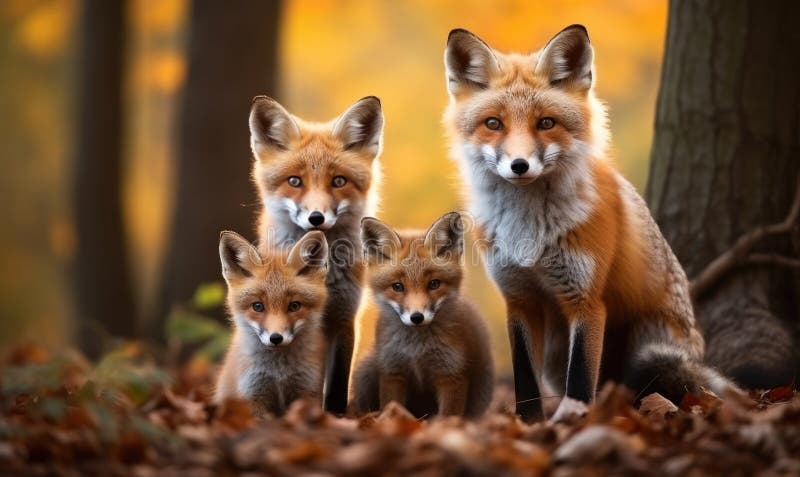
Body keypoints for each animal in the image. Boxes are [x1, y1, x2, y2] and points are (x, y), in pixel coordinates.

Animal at [214, 230, 329, 416]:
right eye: (258, 306)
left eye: (294, 306)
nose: (276, 338)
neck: (278, 372)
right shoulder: (253, 395)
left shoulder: (307, 391)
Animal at [248, 95, 384, 414]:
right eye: (295, 181)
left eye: (339, 181)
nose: (316, 218)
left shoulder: (344, 319)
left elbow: (335, 390)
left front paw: (333, 418)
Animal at [352, 212, 495, 419]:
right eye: (397, 286)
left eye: (434, 284)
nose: (417, 317)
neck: (416, 349)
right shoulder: (392, 372)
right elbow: (391, 409)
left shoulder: (452, 374)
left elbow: (449, 417)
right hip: (365, 372)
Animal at [443, 25, 736, 421]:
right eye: (493, 124)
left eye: (546, 123)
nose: (519, 165)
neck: (529, 229)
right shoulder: (519, 299)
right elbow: (525, 381)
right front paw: (530, 425)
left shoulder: (586, 299)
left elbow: (581, 376)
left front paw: (573, 421)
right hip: (556, 352)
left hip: (650, 346)